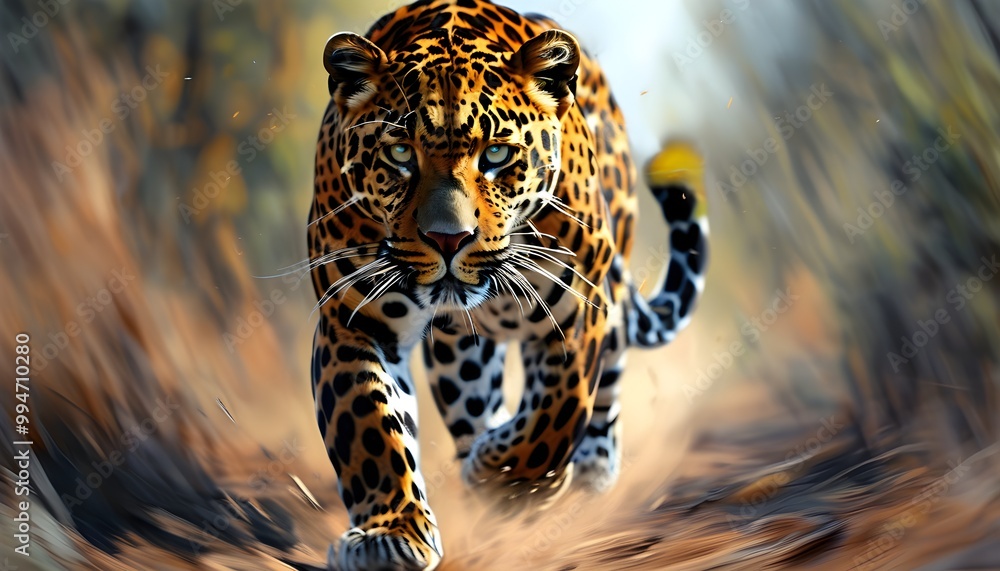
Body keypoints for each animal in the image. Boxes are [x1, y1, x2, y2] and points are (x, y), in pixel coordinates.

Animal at [307, 1, 708, 568]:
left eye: (496, 156)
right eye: (400, 155)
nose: (448, 239)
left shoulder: (580, 311)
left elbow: (557, 415)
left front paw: (509, 481)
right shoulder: (353, 321)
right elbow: (368, 429)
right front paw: (392, 534)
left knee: (604, 387)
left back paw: (585, 470)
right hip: (458, 350)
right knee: (472, 401)